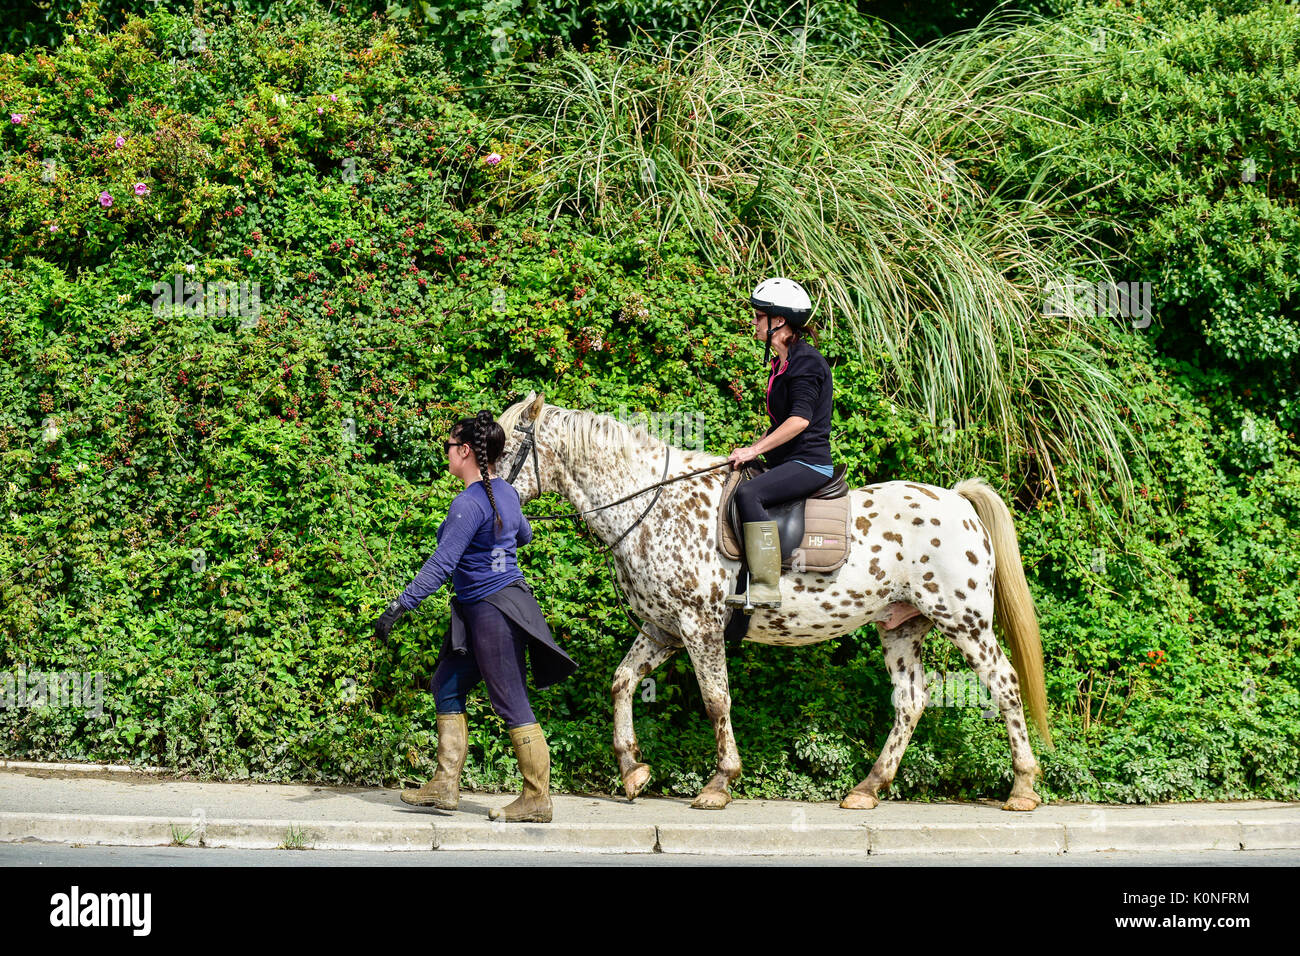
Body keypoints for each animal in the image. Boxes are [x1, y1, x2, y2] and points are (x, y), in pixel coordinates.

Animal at [497, 391, 1052, 811]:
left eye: (501, 451)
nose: (486, 497)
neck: (651, 506)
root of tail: (958, 500)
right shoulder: (663, 629)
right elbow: (622, 682)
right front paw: (633, 771)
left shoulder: (698, 625)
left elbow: (715, 699)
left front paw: (719, 784)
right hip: (901, 625)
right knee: (910, 702)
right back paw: (868, 789)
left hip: (963, 621)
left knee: (1005, 685)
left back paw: (1023, 787)